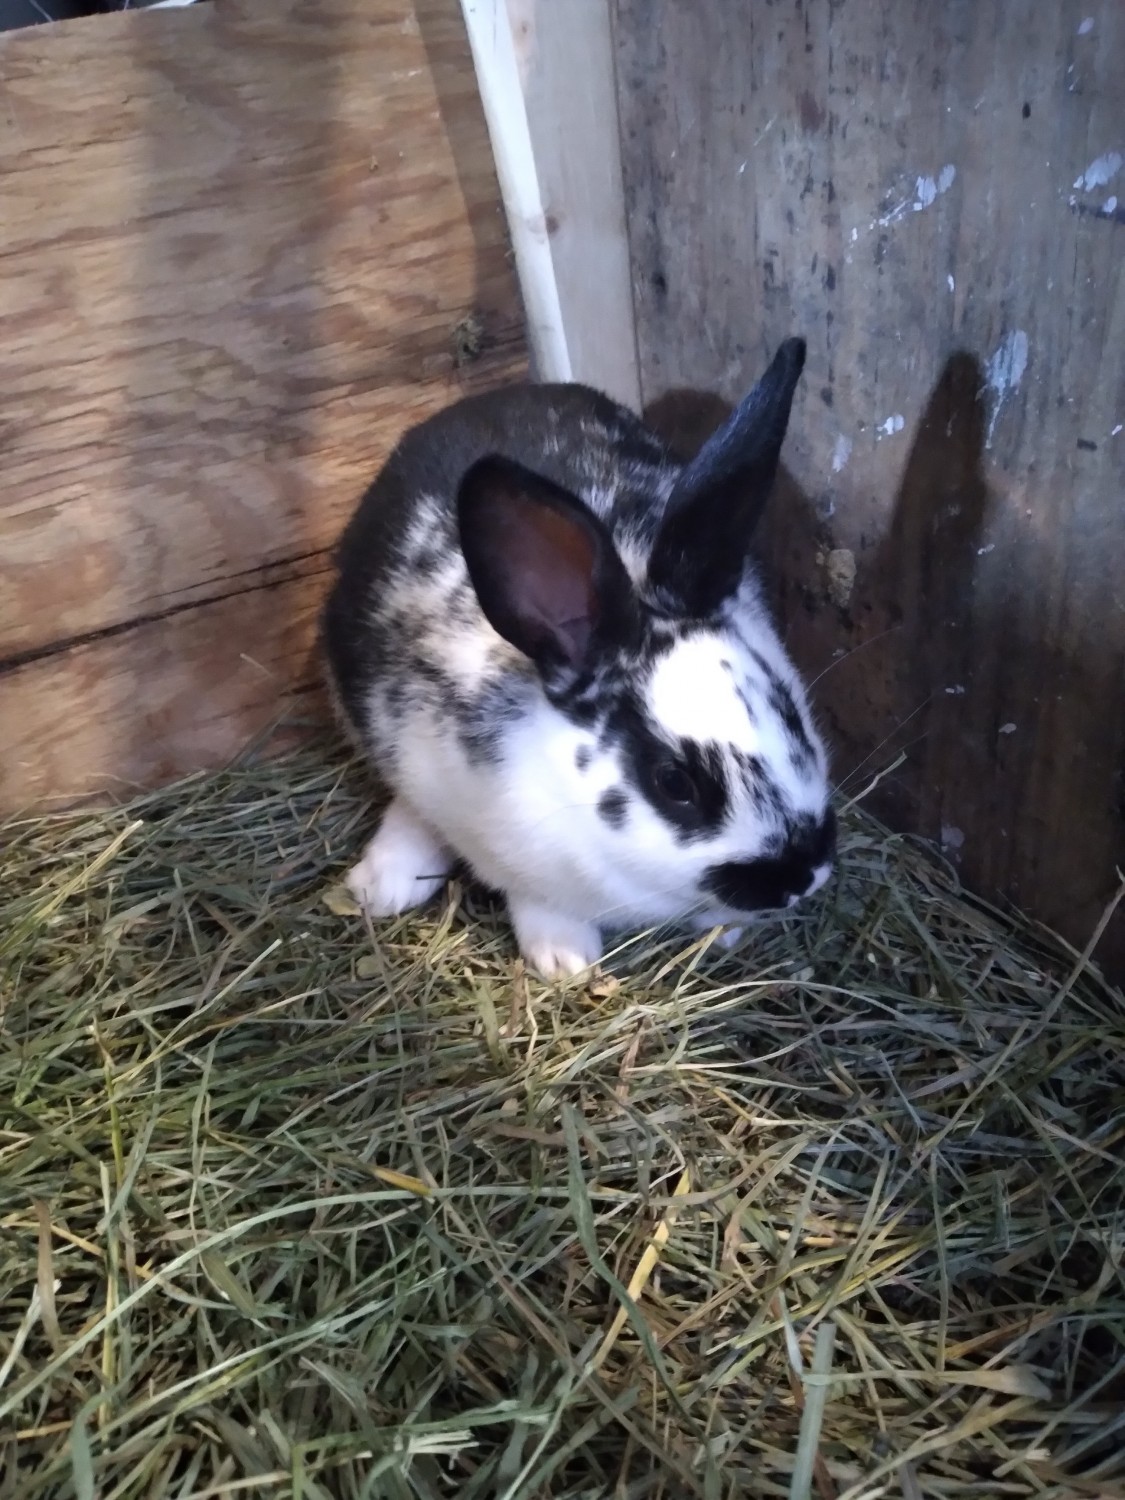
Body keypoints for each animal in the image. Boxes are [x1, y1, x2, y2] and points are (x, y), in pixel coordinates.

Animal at [321, 336, 835, 980]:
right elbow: (533, 899)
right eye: (675, 783)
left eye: (794, 715)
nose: (799, 876)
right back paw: (382, 885)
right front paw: (566, 960)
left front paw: (726, 931)